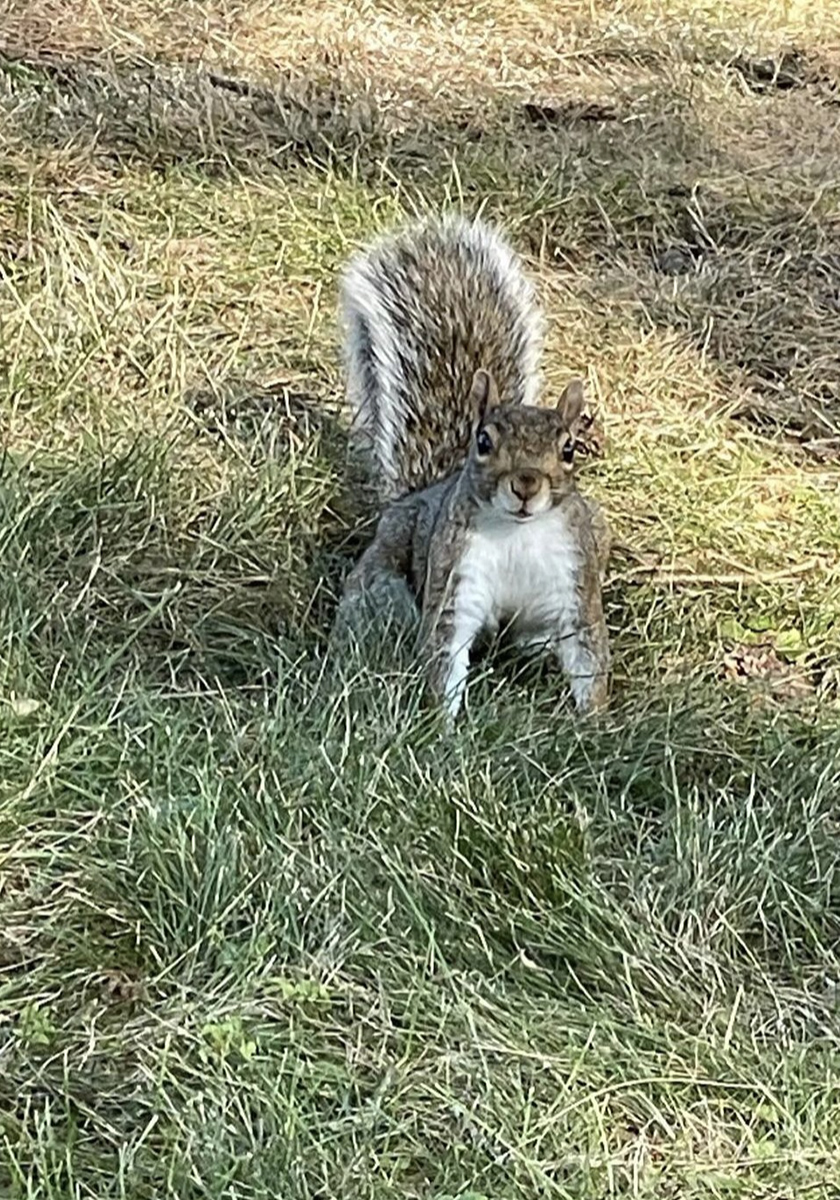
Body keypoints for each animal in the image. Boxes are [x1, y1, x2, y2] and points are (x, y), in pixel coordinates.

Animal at [333, 213, 611, 722]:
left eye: (569, 449)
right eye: (483, 441)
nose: (526, 485)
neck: (518, 533)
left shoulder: (575, 584)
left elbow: (588, 655)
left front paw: (595, 724)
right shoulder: (456, 581)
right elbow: (445, 654)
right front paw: (442, 729)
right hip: (386, 575)